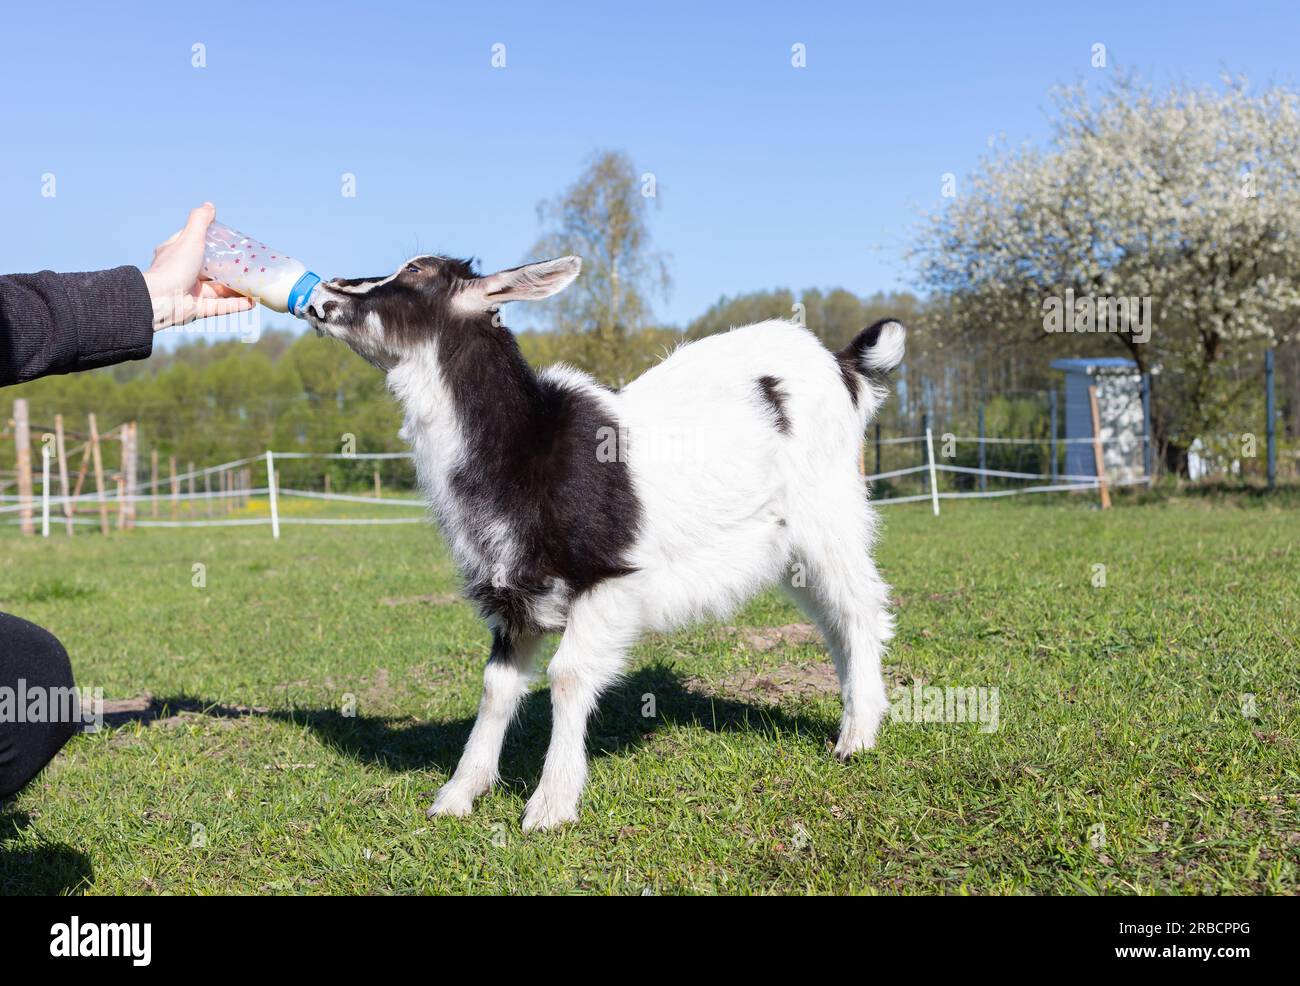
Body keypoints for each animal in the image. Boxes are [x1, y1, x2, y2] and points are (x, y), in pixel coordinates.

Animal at [305, 255, 905, 831]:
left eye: (414, 270)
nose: (321, 292)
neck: (528, 444)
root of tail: (843, 365)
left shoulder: (607, 577)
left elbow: (567, 676)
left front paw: (550, 806)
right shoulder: (513, 592)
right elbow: (497, 686)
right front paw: (458, 794)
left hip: (829, 513)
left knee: (859, 607)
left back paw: (857, 738)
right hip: (785, 547)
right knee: (833, 618)